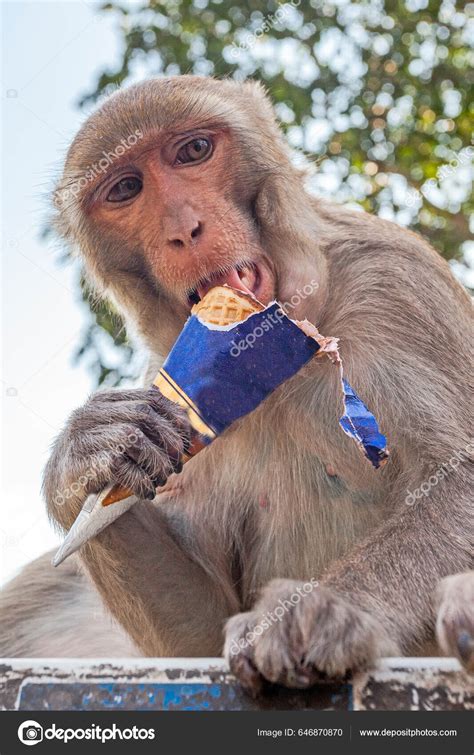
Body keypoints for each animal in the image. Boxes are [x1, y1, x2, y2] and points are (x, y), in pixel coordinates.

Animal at [0, 76, 472, 689]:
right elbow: (196, 639)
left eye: (194, 151)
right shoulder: (163, 382)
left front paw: (318, 609)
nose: (184, 230)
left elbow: (455, 481)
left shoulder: (397, 282)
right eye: (125, 188)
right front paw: (85, 455)